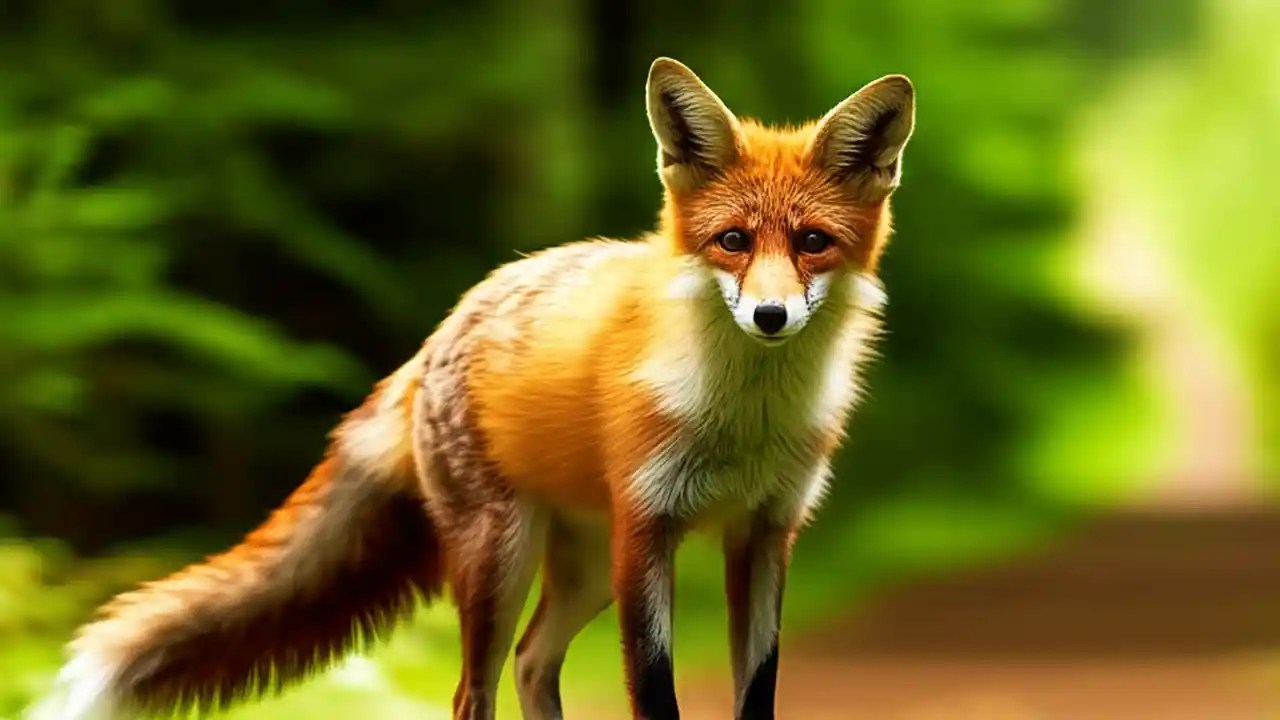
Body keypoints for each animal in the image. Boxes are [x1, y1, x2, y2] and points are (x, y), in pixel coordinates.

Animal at [38, 57, 914, 720]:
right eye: (732, 241)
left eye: (812, 243)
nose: (769, 316)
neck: (745, 416)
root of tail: (440, 332)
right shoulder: (649, 528)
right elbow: (653, 697)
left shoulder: (766, 533)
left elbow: (757, 695)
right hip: (505, 555)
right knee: (474, 692)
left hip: (581, 571)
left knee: (531, 663)